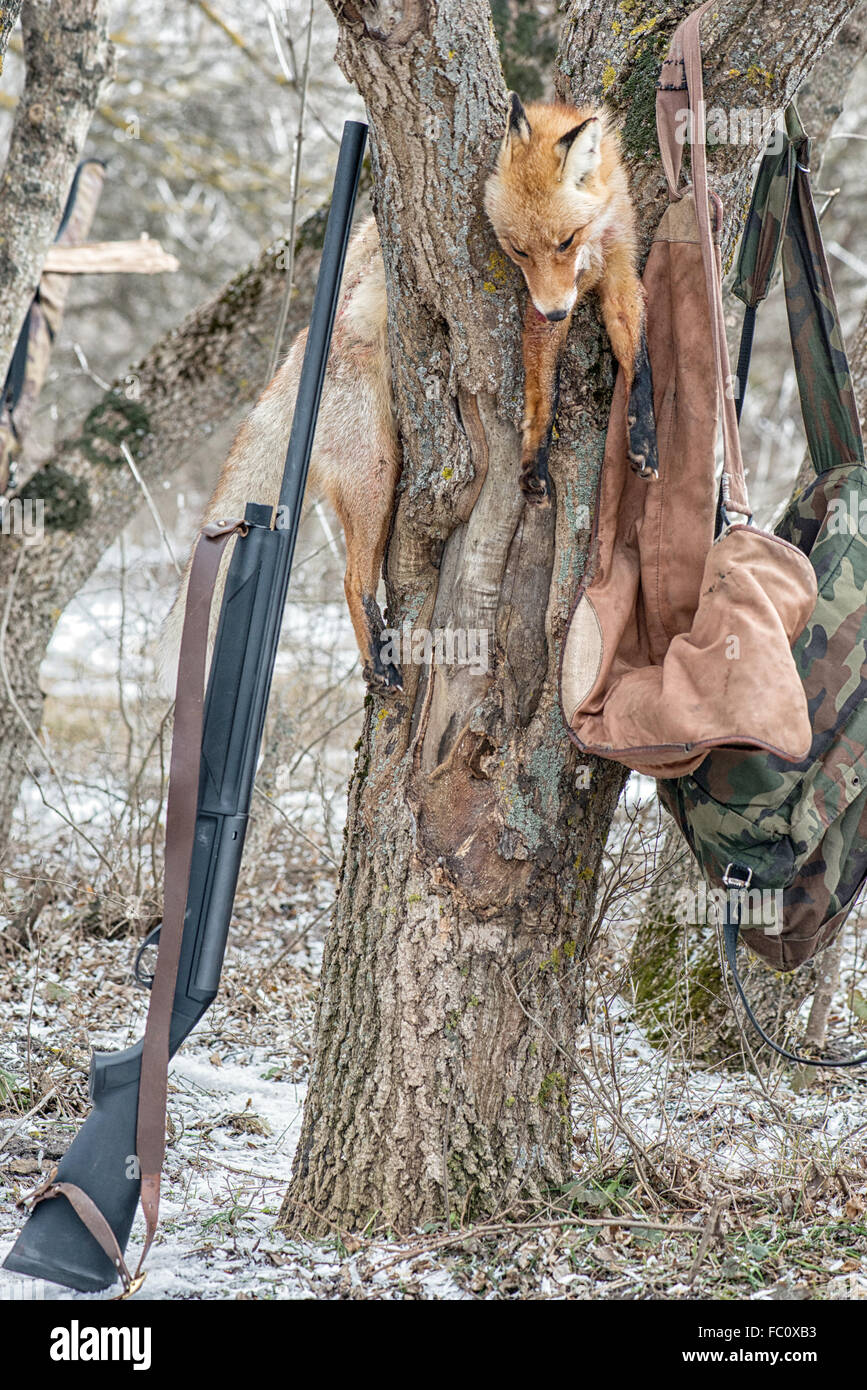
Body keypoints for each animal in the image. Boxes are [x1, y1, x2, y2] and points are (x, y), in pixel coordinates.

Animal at [162, 93, 649, 696]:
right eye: (516, 251)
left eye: (565, 241)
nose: (559, 312)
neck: (593, 247)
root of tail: (294, 370)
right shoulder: (533, 306)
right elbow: (542, 392)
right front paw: (535, 454)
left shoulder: (618, 267)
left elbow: (639, 353)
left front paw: (645, 433)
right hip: (376, 474)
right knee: (353, 579)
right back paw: (379, 662)